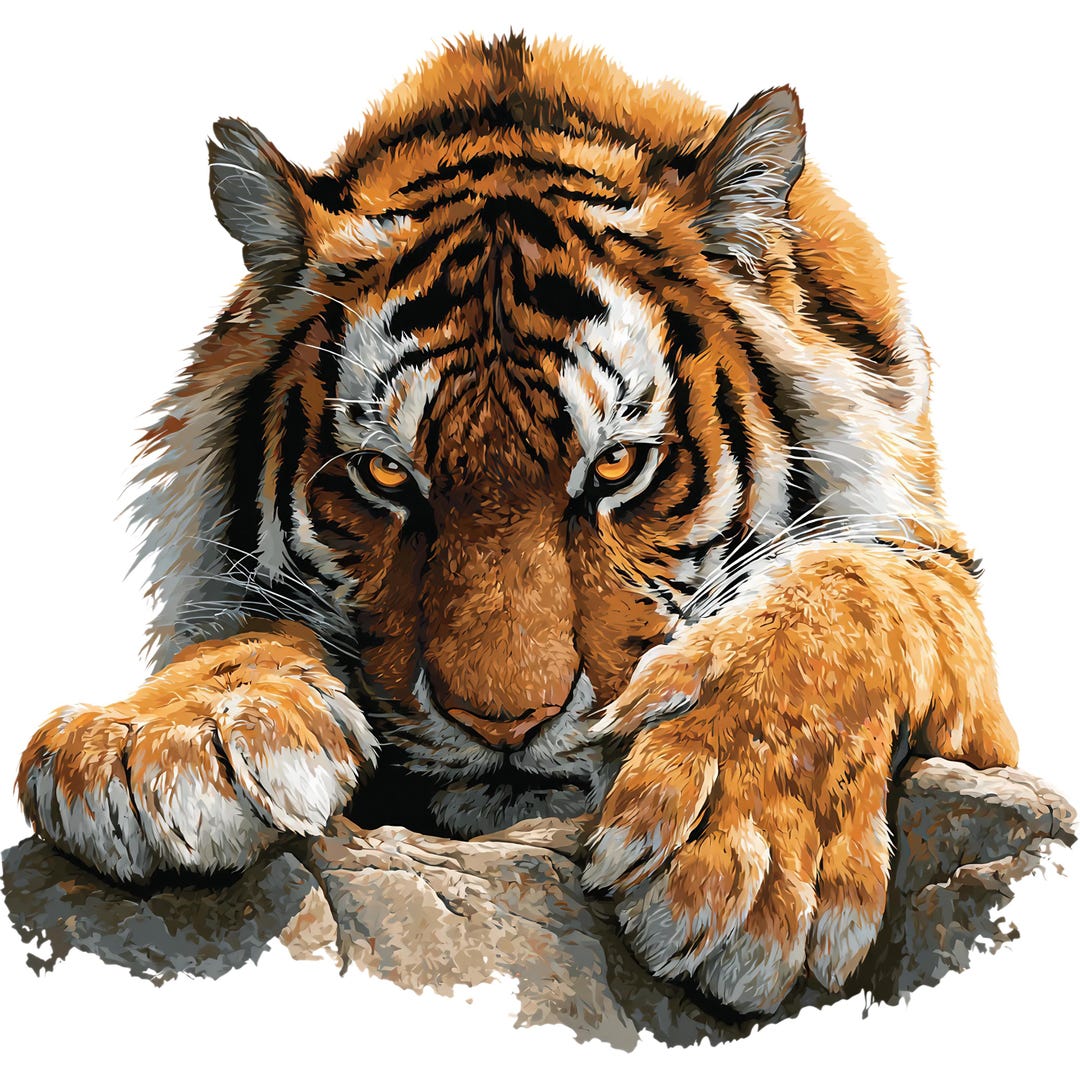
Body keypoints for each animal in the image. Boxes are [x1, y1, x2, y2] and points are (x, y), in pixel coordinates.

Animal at [16, 33, 1019, 1015]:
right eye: (387, 474)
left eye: (615, 467)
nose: (505, 725)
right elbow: (241, 626)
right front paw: (159, 743)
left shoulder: (938, 582)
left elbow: (853, 587)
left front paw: (745, 856)